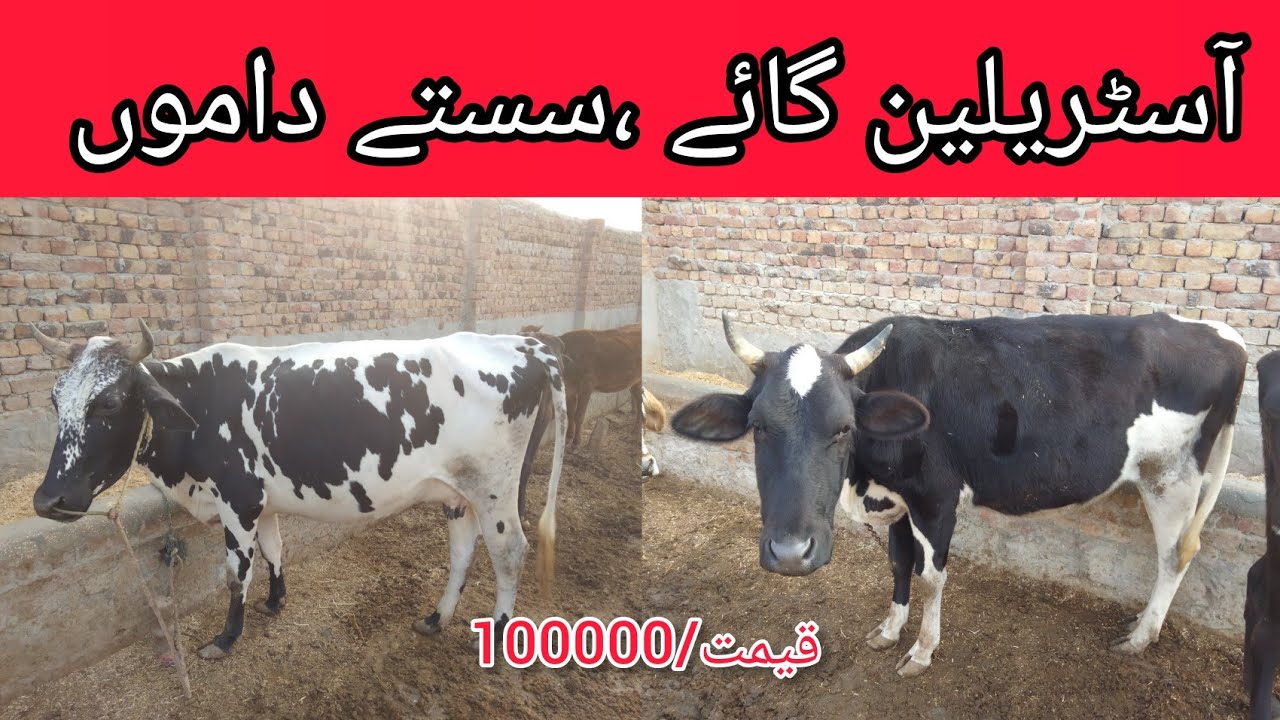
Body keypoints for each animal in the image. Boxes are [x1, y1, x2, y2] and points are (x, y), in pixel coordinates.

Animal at [29, 320, 566, 660]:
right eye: (55, 400)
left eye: (109, 402)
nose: (48, 500)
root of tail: (521, 343)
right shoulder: (261, 502)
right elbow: (274, 549)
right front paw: (275, 601)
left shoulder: (238, 499)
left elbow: (235, 574)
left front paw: (226, 639)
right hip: (461, 493)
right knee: (463, 552)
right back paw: (436, 619)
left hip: (497, 489)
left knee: (510, 553)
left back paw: (496, 640)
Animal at [672, 311, 1245, 677]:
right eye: (758, 427)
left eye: (843, 427)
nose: (791, 554)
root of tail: (1226, 335)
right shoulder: (901, 500)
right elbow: (899, 564)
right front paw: (889, 630)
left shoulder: (936, 499)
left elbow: (931, 578)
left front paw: (922, 651)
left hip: (1172, 475)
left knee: (1176, 554)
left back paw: (1142, 635)